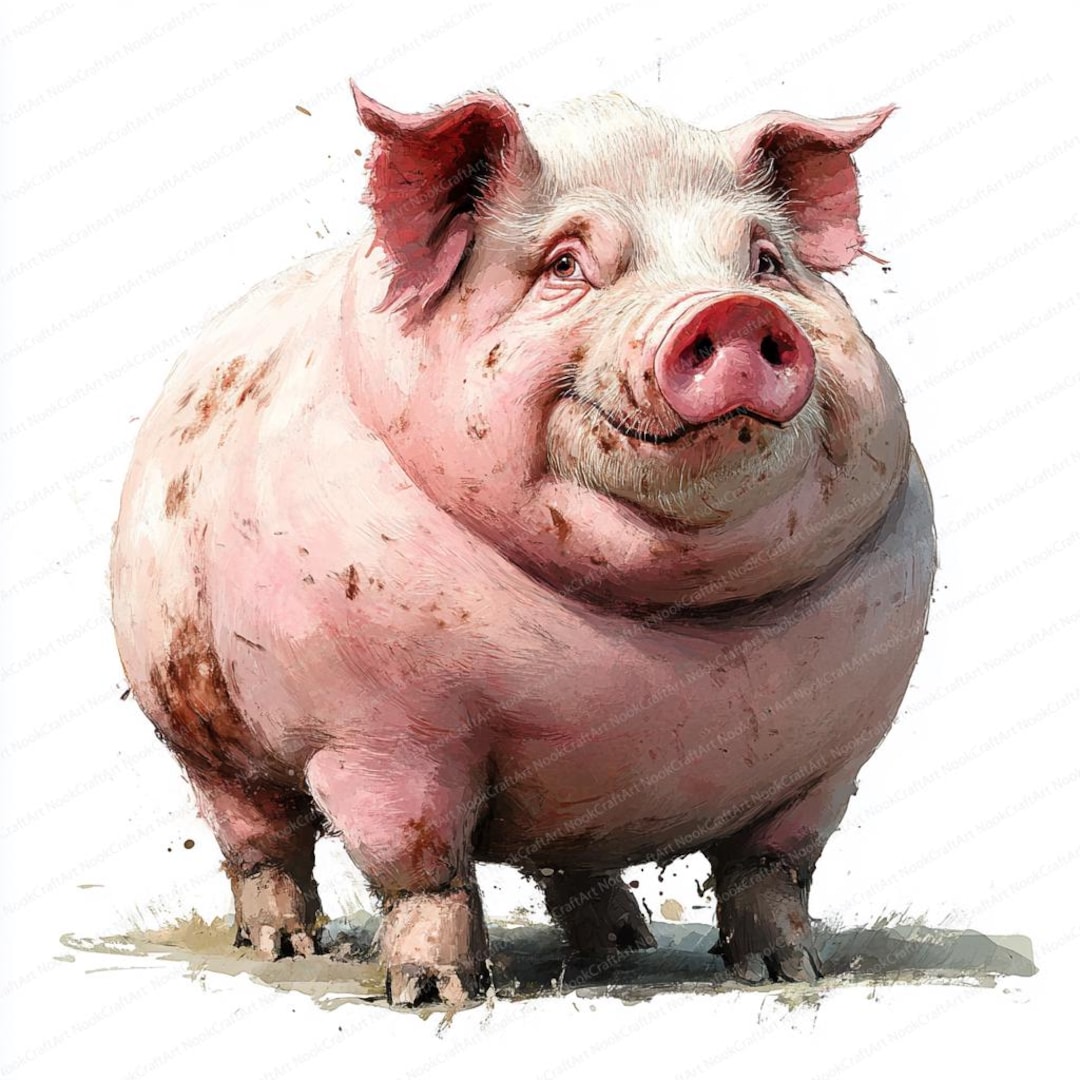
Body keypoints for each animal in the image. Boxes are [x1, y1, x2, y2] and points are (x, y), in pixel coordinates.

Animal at [110, 82, 935, 1007]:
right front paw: (435, 993)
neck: (673, 615)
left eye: (764, 262)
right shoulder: (377, 737)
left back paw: (626, 949)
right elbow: (422, 866)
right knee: (259, 839)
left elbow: (773, 872)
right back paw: (283, 946)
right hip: (196, 731)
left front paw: (788, 973)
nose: (732, 311)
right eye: (566, 266)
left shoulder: (828, 759)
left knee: (575, 865)